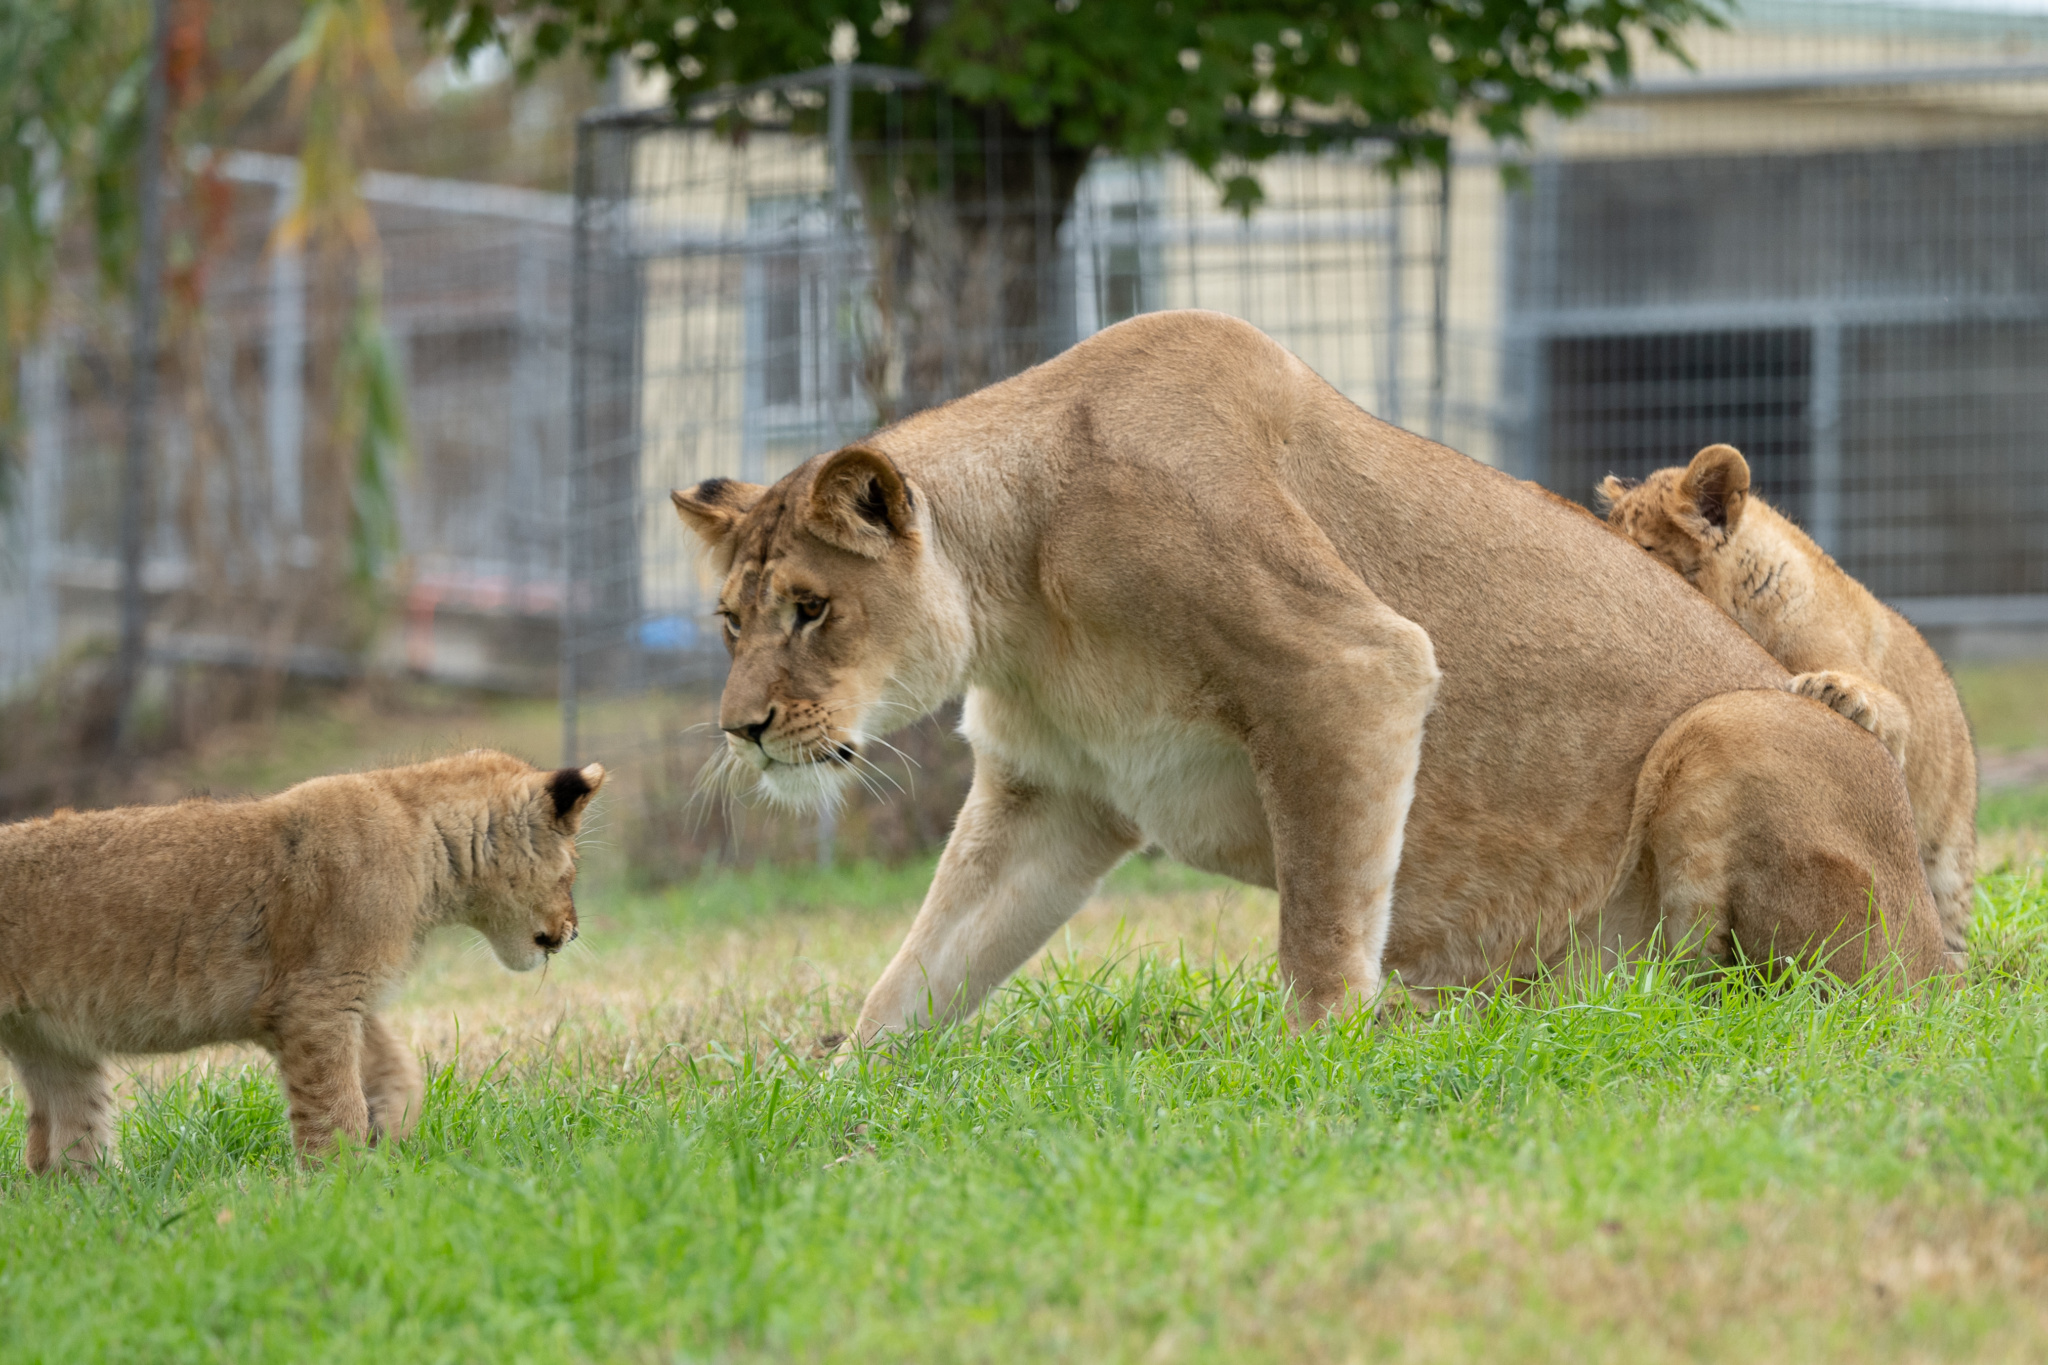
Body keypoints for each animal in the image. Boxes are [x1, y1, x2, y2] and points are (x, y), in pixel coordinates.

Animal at [0, 750, 604, 1172]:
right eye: (572, 871)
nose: (574, 931)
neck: (426, 842)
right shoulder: (315, 1001)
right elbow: (335, 1103)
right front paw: (336, 1188)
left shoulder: (343, 999)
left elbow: (397, 1069)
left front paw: (394, 1133)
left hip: (50, 1044)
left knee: (65, 1140)